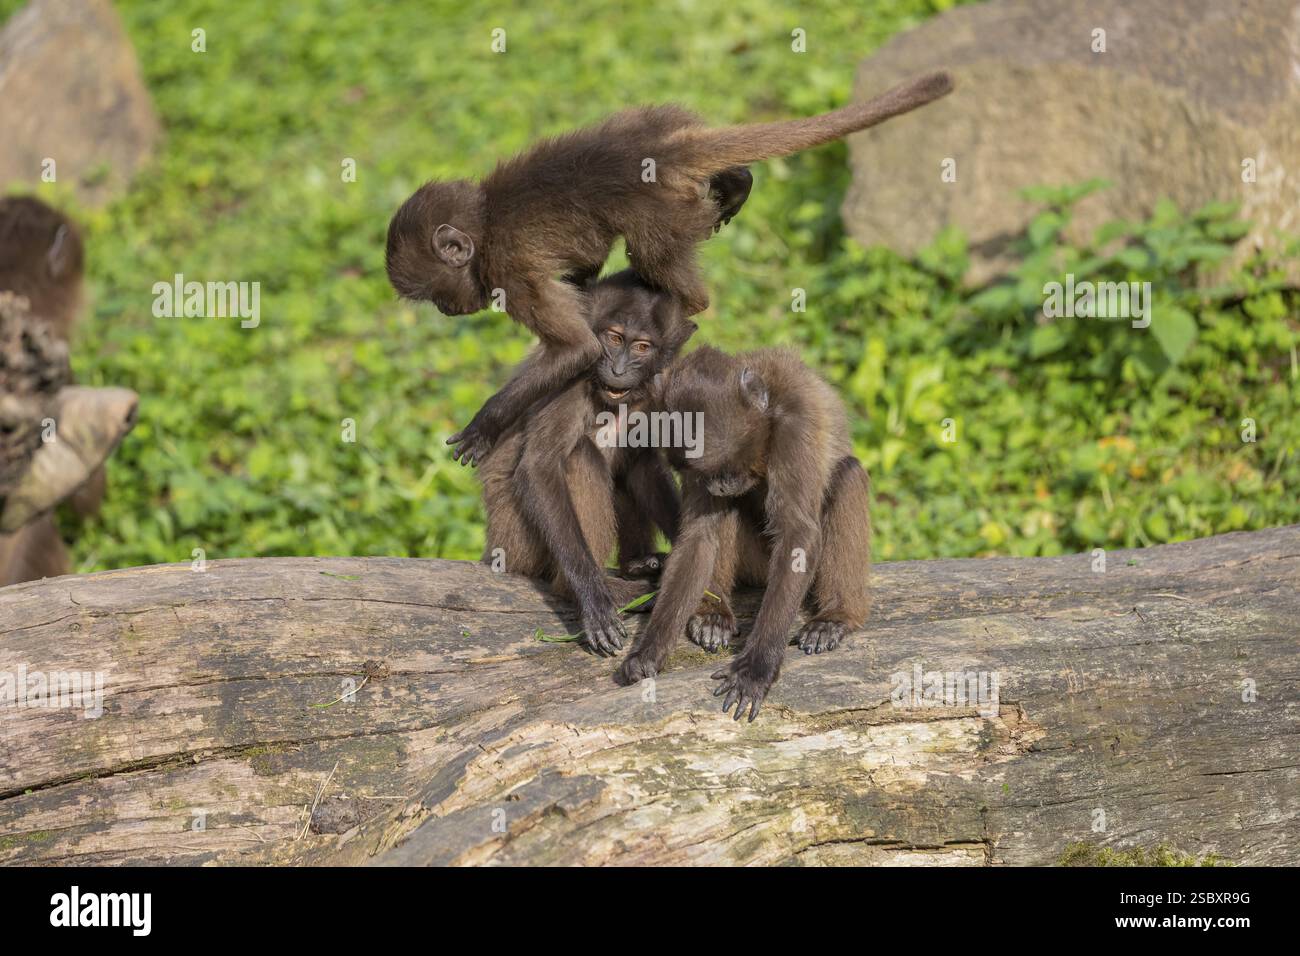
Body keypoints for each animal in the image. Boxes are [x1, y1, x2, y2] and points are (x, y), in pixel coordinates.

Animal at [385, 71, 953, 468]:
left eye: (436, 295)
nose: (449, 310)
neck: (483, 224)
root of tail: (657, 148)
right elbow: (584, 272)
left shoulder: (507, 271)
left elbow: (576, 348)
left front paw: (485, 425)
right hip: (653, 120)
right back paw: (738, 181)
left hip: (661, 215)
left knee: (658, 264)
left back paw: (689, 311)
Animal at [478, 270, 697, 655]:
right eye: (614, 338)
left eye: (642, 347)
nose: (618, 369)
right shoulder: (575, 377)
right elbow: (539, 467)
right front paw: (594, 599)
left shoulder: (655, 385)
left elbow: (643, 459)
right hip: (516, 541)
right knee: (581, 456)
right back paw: (597, 590)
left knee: (627, 463)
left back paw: (638, 564)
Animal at [614, 346, 871, 722]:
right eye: (704, 474)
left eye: (727, 467)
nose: (719, 486)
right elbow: (697, 538)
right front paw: (649, 652)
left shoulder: (795, 426)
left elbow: (796, 535)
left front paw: (756, 668)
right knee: (725, 513)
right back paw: (713, 611)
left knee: (848, 474)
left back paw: (837, 616)